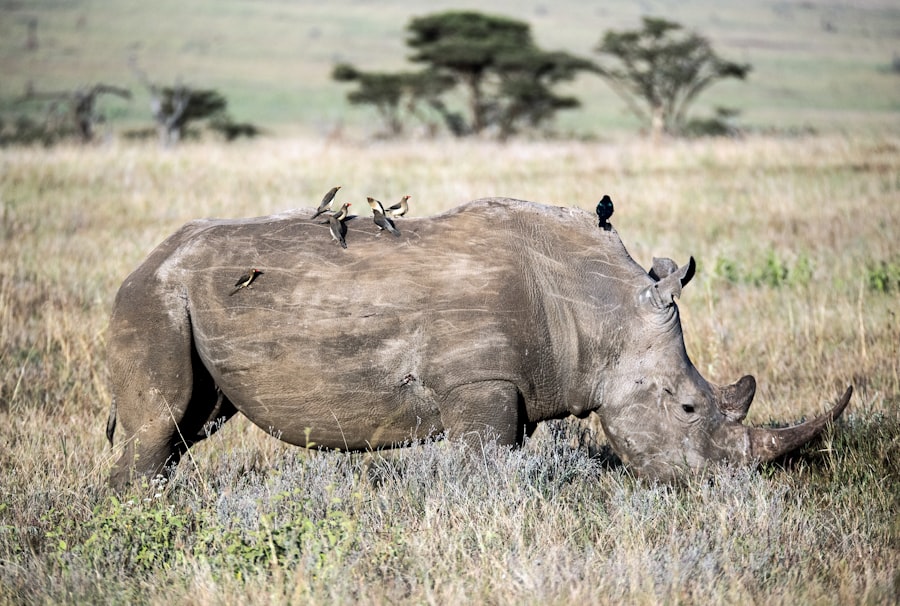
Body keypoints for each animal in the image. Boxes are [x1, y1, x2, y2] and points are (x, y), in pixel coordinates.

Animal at [106, 198, 850, 487]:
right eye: (690, 409)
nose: (728, 488)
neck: (601, 308)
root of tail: (143, 260)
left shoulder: (511, 387)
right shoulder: (479, 385)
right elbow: (485, 469)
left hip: (174, 299)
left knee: (190, 425)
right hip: (153, 299)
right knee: (161, 425)